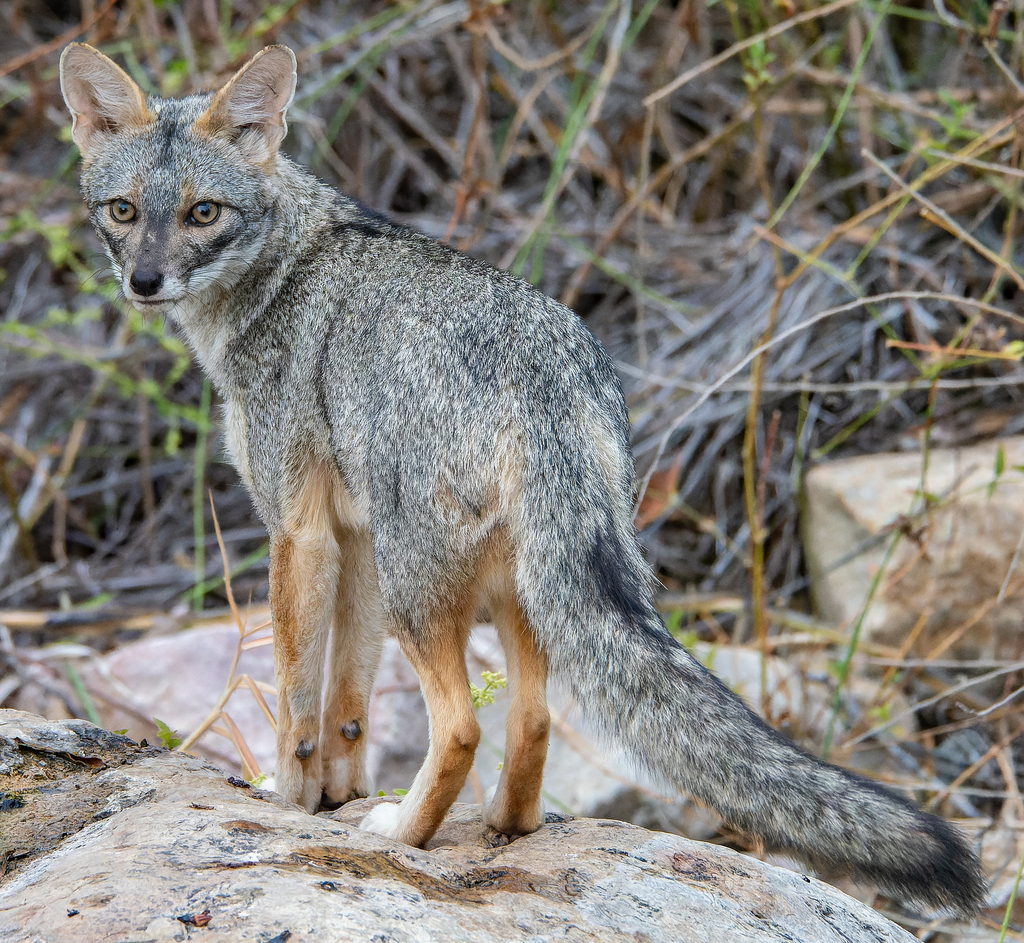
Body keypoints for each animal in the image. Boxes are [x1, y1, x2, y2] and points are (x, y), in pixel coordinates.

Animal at [59, 42, 984, 915]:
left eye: (202, 213)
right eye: (123, 211)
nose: (144, 281)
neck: (284, 267)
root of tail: (547, 367)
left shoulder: (300, 532)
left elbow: (295, 700)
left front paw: (288, 801)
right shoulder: (354, 540)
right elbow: (348, 704)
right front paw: (337, 797)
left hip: (422, 585)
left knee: (464, 727)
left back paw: (405, 834)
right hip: (506, 584)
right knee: (533, 719)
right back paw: (505, 826)